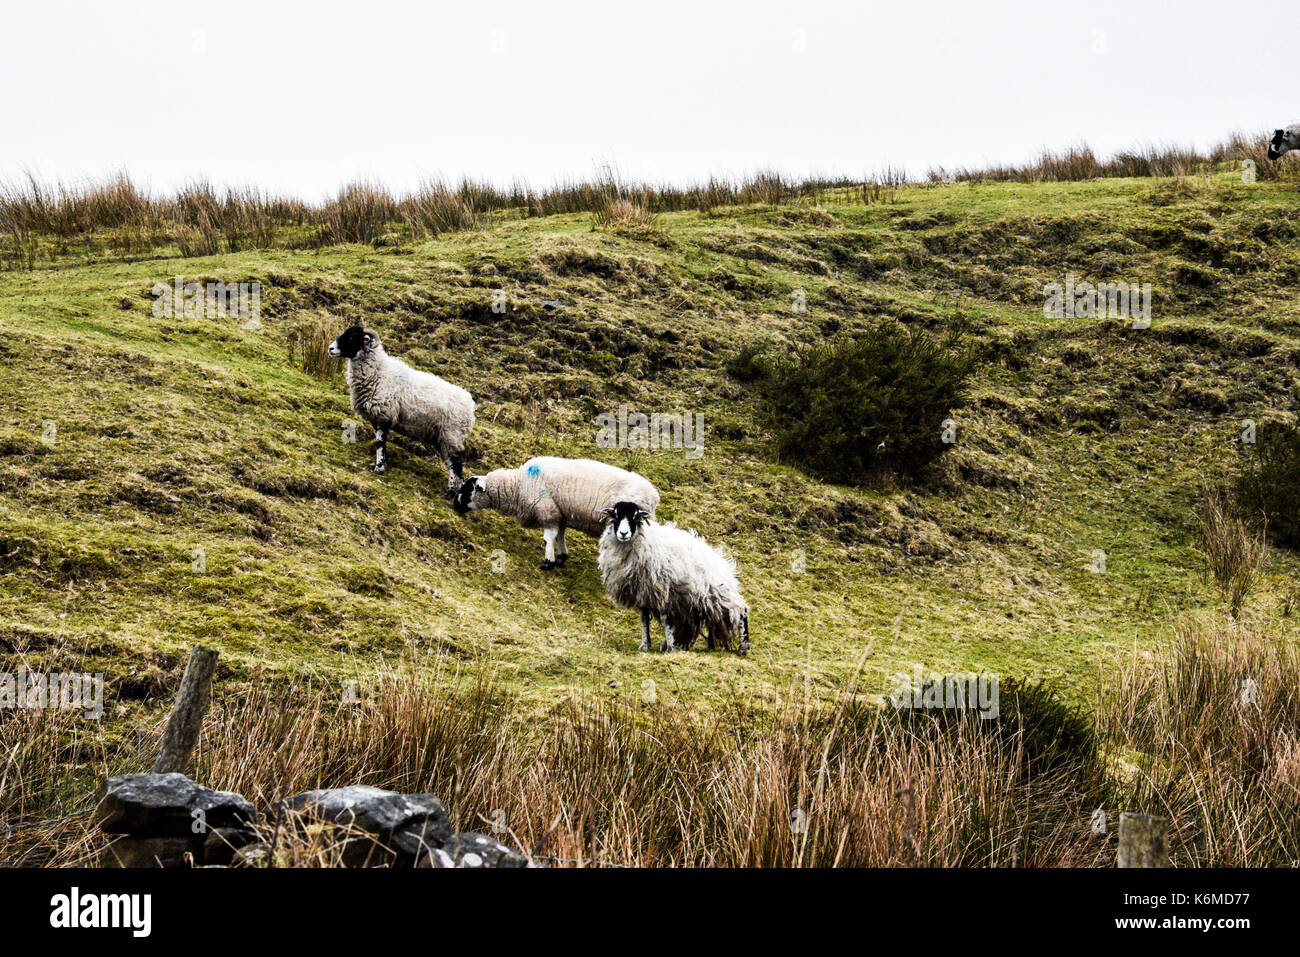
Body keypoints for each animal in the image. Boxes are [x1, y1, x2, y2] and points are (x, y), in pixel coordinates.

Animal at [327, 325, 475, 492]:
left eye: (353, 337)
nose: (330, 348)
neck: (378, 371)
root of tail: (470, 405)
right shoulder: (377, 418)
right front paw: (381, 465)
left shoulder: (384, 415)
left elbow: (380, 443)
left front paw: (379, 468)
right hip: (442, 439)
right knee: (452, 465)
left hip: (452, 435)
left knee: (457, 466)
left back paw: (453, 492)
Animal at [453, 457, 659, 570]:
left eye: (468, 489)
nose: (454, 505)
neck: (518, 485)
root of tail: (653, 496)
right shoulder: (560, 514)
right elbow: (560, 535)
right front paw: (562, 556)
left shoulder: (548, 510)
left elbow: (548, 537)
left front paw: (548, 561)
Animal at [597, 501, 749, 654]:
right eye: (615, 515)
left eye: (635, 517)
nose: (623, 533)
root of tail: (723, 562)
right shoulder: (643, 594)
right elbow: (644, 620)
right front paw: (645, 645)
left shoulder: (663, 591)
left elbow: (665, 621)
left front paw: (671, 647)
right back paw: (708, 646)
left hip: (718, 593)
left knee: (741, 611)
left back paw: (743, 646)